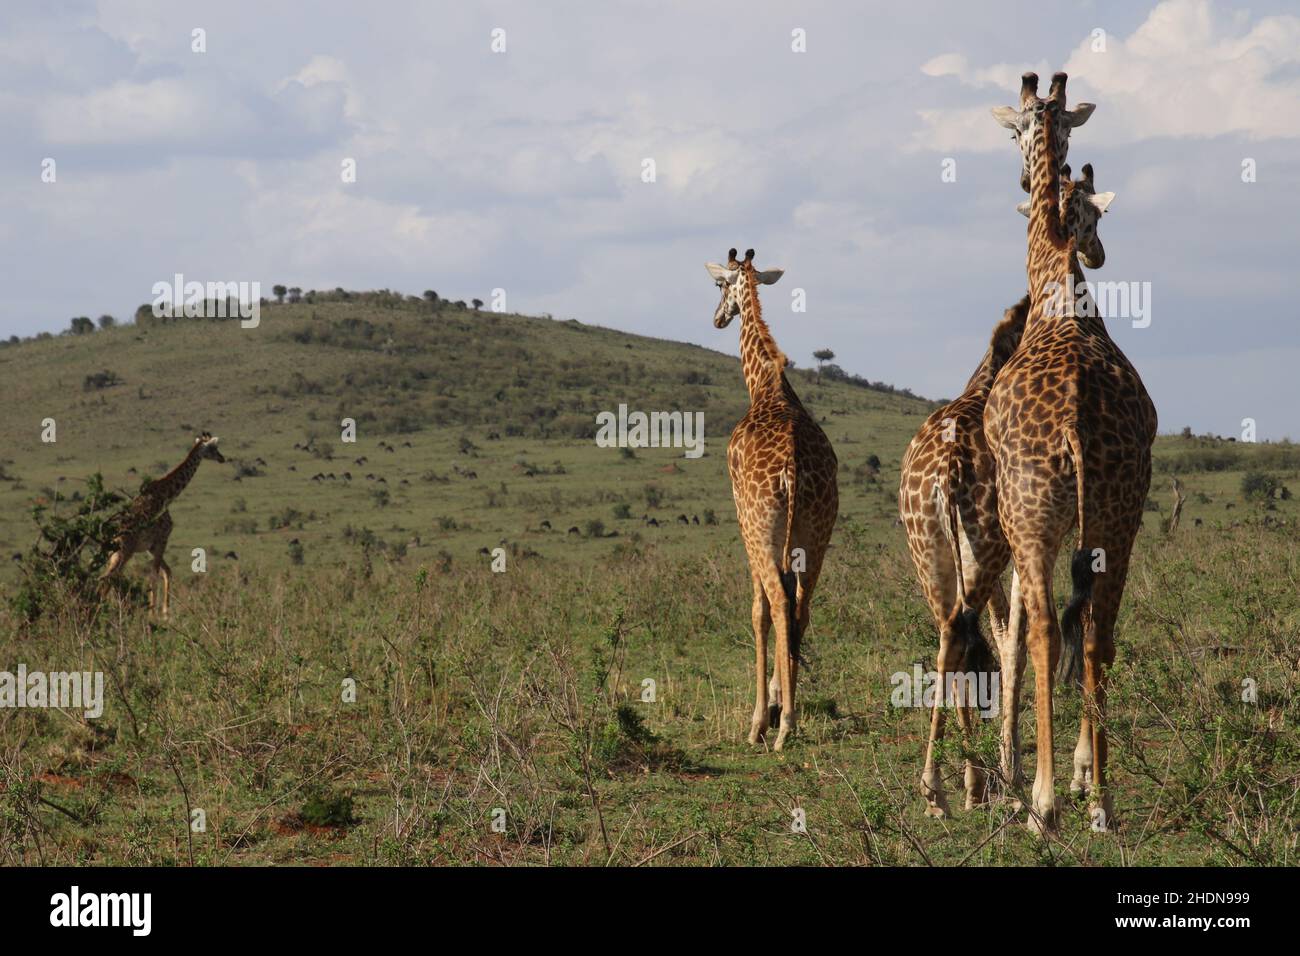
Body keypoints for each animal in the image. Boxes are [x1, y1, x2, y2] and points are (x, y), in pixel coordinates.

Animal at [100, 433, 227, 619]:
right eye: (213, 448)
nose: (222, 458)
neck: (167, 495)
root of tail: (109, 533)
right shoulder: (162, 539)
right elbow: (155, 575)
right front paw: (153, 614)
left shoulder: (151, 547)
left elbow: (167, 571)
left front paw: (165, 612)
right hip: (124, 551)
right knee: (109, 577)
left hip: (113, 554)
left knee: (107, 576)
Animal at [705, 249, 839, 751]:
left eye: (718, 286)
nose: (718, 317)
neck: (764, 384)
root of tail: (793, 470)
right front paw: (783, 696)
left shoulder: (743, 520)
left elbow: (757, 610)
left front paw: (764, 714)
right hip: (817, 532)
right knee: (802, 605)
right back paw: (789, 716)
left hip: (762, 527)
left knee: (779, 604)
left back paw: (775, 726)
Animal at [901, 164, 1119, 818]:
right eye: (1094, 217)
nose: (1097, 253)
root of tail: (947, 464)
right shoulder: (1020, 551)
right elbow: (1018, 640)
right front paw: (1026, 772)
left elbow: (998, 643)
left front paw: (1004, 769)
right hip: (989, 547)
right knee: (982, 633)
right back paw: (976, 783)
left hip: (932, 554)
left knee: (951, 632)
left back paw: (944, 787)